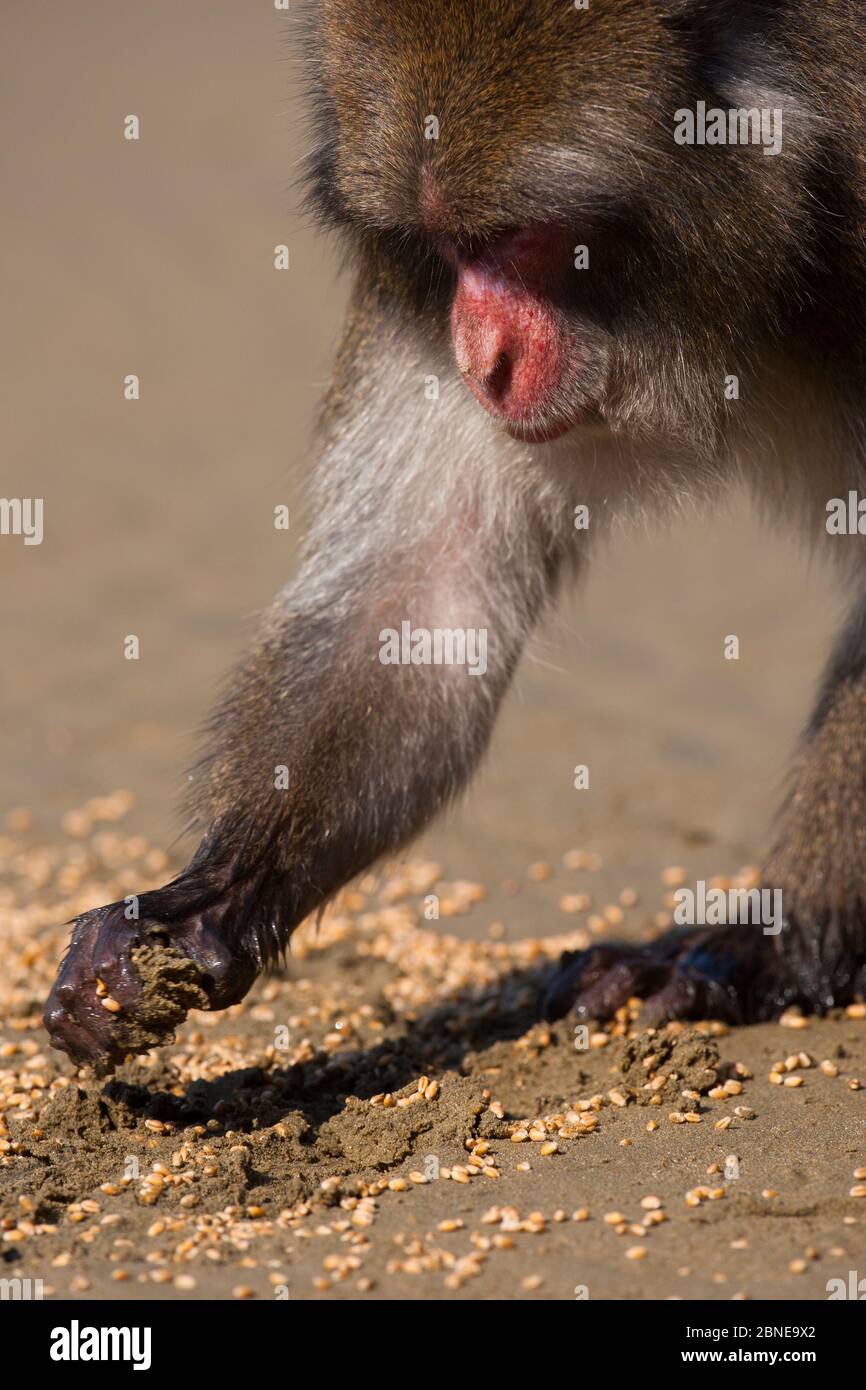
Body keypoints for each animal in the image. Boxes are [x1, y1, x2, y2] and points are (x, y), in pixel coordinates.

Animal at [45, 0, 866, 1066]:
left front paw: (780, 942)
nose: (481, 359)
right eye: (438, 241)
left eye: (518, 235)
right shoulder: (412, 290)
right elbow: (424, 601)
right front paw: (202, 907)